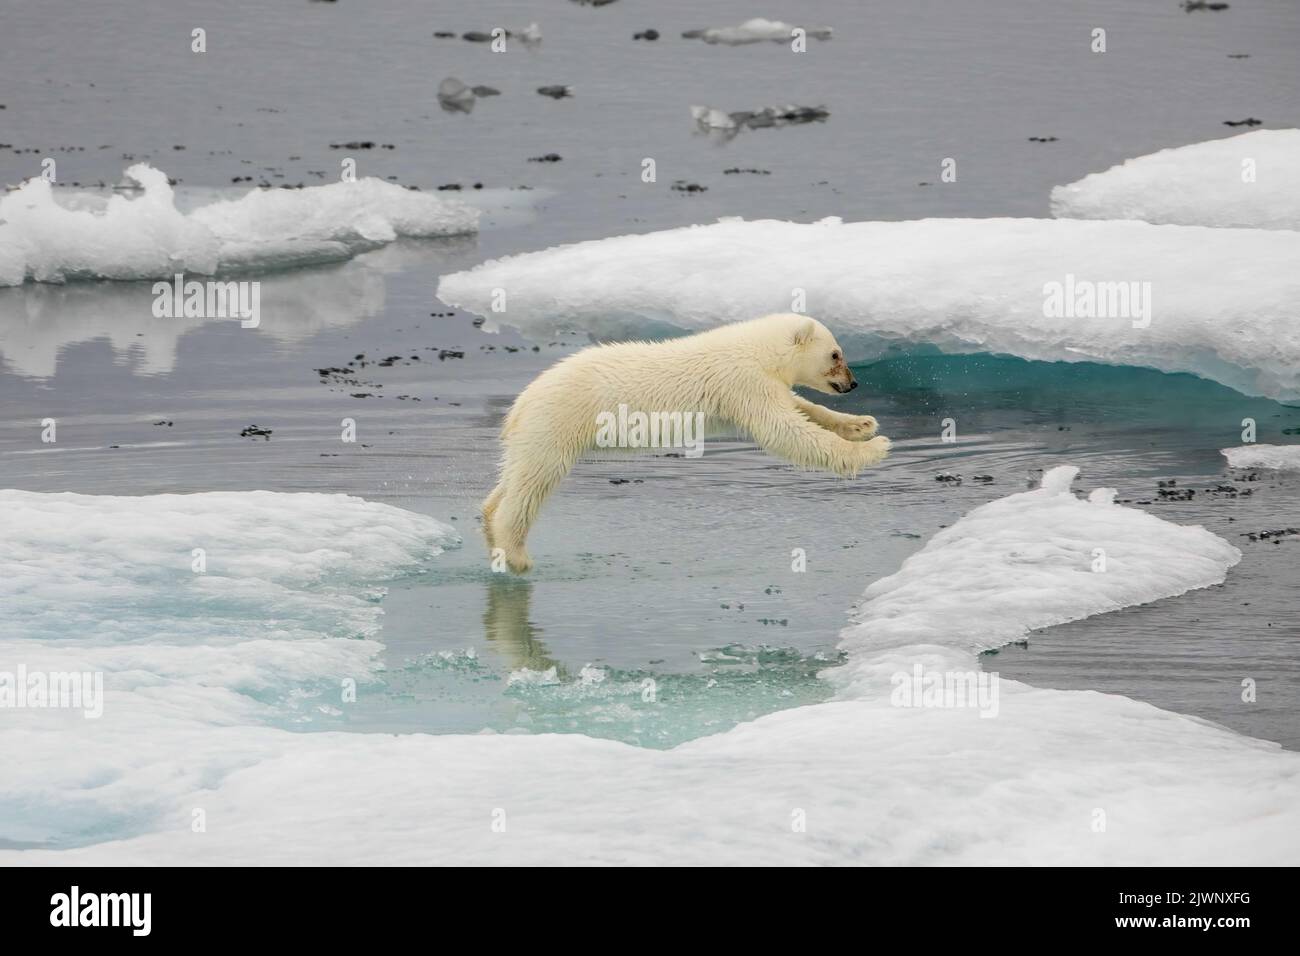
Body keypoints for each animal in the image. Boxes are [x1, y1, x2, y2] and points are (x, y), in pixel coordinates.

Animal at [482, 313, 891, 573]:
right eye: (836, 354)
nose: (852, 383)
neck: (757, 351)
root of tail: (521, 403)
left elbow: (799, 408)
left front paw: (861, 424)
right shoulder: (743, 382)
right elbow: (784, 430)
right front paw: (874, 448)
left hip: (532, 433)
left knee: (512, 478)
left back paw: (489, 524)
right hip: (557, 424)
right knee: (533, 484)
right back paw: (516, 555)